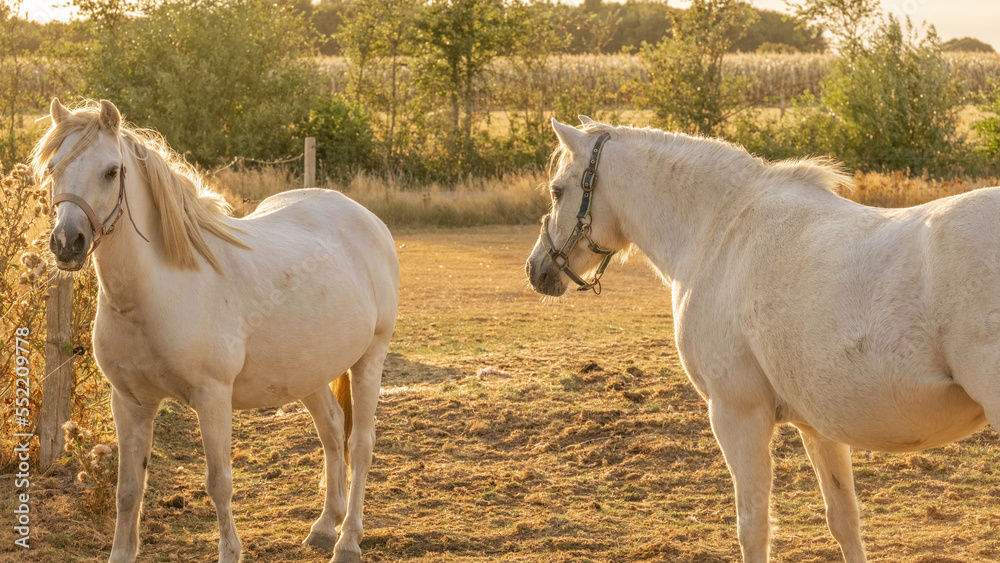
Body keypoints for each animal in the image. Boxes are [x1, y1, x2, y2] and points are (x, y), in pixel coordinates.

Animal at [32, 98, 398, 563]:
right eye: (54, 167)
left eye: (111, 171)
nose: (67, 243)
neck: (161, 290)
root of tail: (367, 220)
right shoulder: (129, 401)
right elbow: (129, 489)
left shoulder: (212, 397)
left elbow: (219, 483)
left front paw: (230, 551)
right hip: (308, 370)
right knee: (333, 431)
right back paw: (322, 527)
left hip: (370, 359)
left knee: (361, 445)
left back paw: (348, 540)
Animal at [526, 117, 1000, 562]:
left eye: (557, 190)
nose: (537, 269)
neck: (720, 232)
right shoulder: (819, 426)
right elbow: (844, 522)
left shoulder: (737, 415)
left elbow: (753, 529)